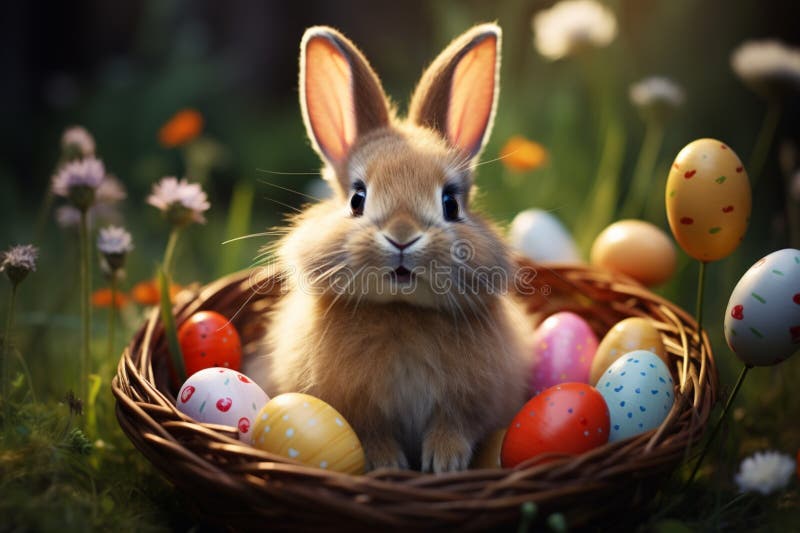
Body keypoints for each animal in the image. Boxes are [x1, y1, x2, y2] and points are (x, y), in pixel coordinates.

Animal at [244, 23, 532, 473]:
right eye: (357, 199)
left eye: (451, 203)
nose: (401, 235)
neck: (402, 310)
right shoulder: (356, 409)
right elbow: (370, 434)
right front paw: (388, 464)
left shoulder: (470, 403)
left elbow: (455, 425)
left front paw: (443, 462)